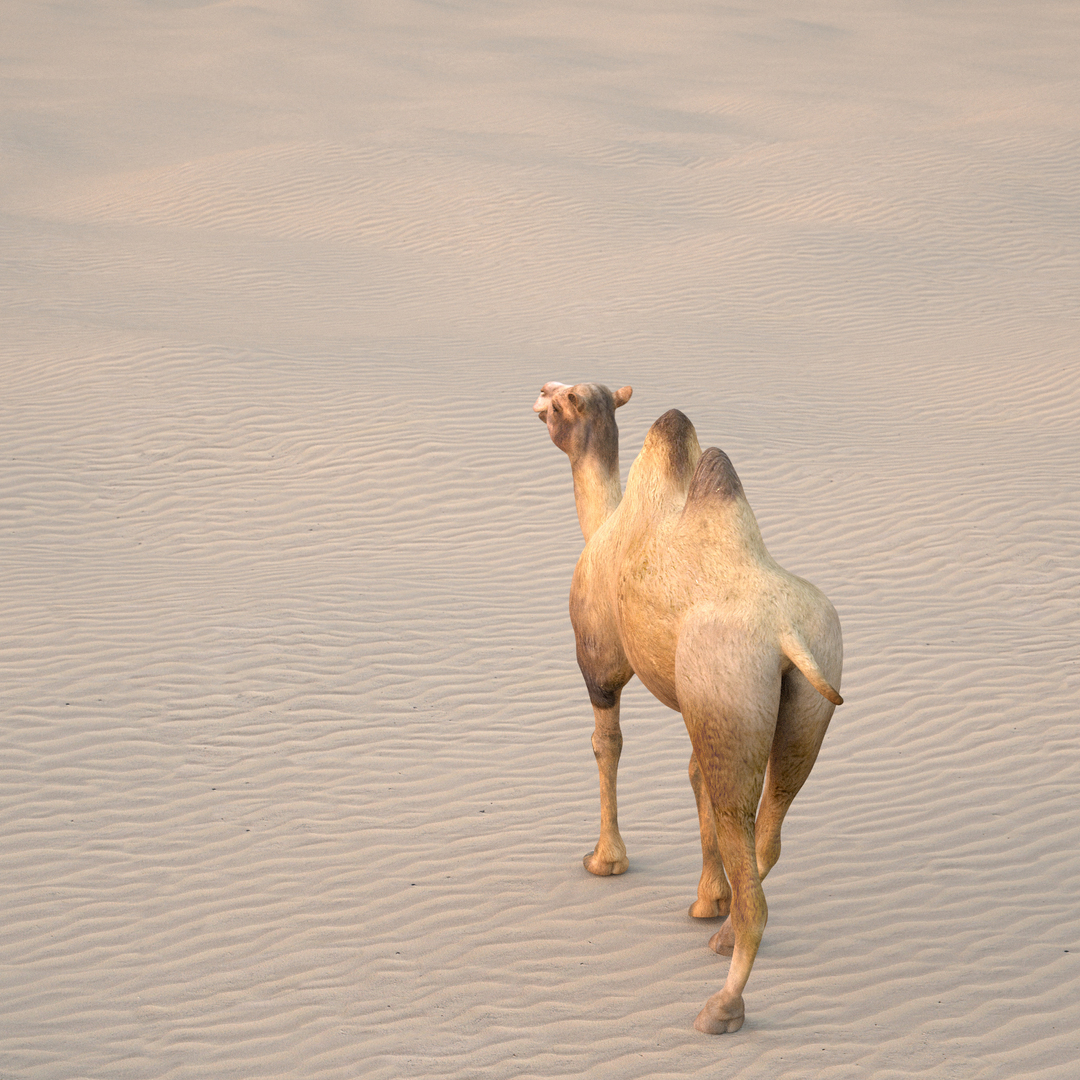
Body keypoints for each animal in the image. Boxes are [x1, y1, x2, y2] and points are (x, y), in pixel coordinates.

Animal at [533, 380, 843, 1035]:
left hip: (732, 688)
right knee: (768, 827)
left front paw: (606, 860)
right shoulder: (693, 704)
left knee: (747, 850)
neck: (606, 521)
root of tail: (786, 635)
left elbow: (606, 745)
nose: (539, 393)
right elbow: (693, 774)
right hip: (803, 698)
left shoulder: (599, 663)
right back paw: (722, 932)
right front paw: (707, 898)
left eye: (568, 397)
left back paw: (721, 1006)